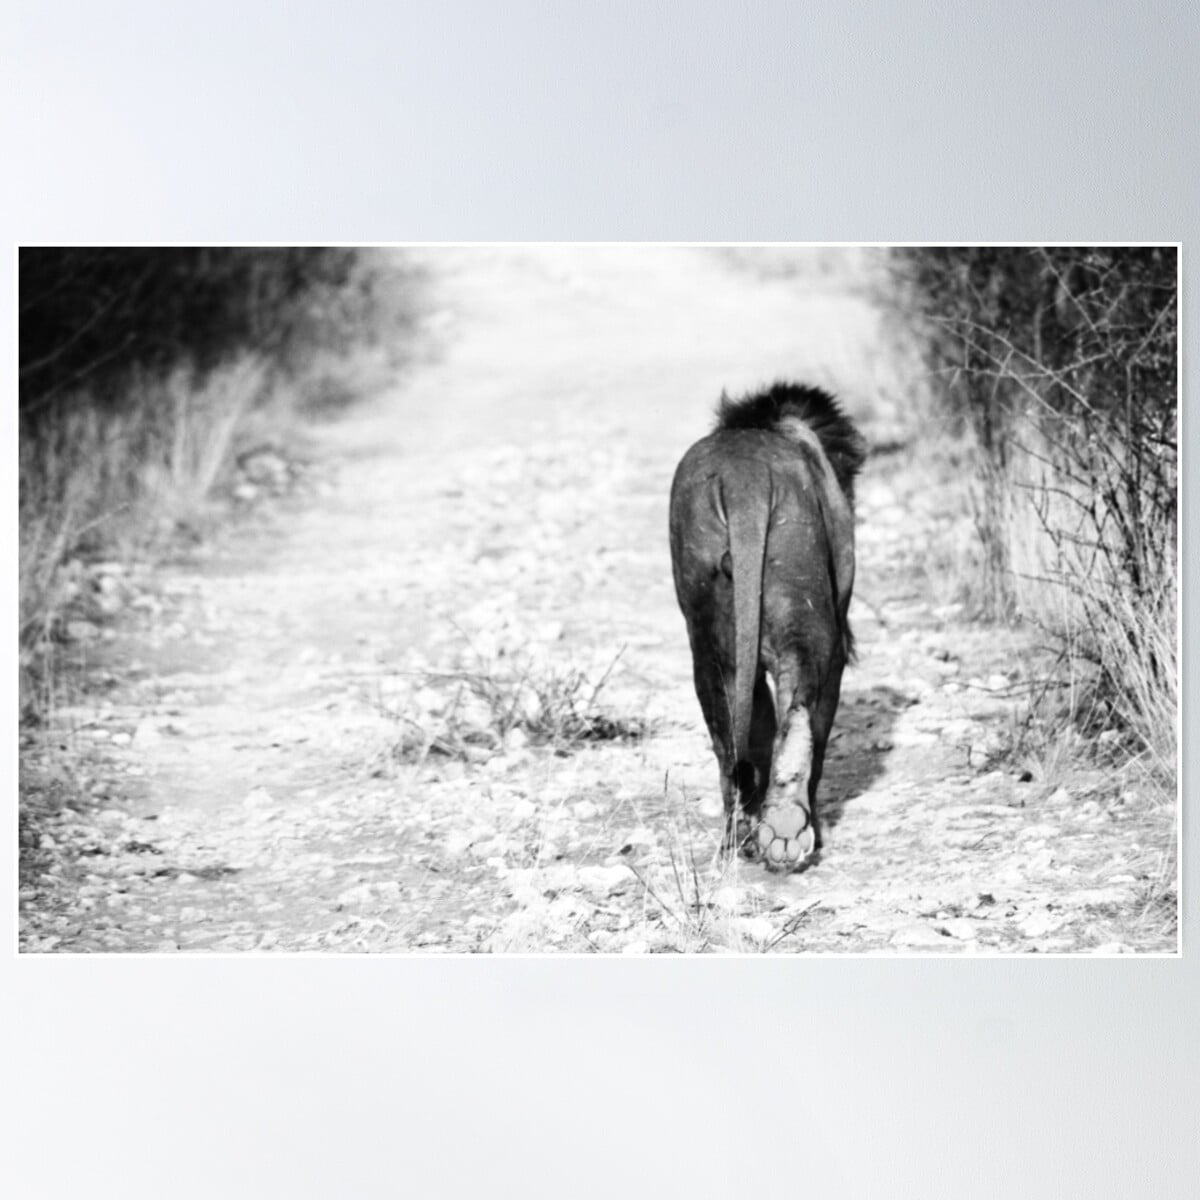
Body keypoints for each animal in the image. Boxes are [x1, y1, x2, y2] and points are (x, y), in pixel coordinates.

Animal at [668, 382, 866, 871]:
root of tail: (744, 480)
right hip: (807, 602)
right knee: (800, 708)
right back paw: (787, 828)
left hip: (710, 638)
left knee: (730, 740)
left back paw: (741, 836)